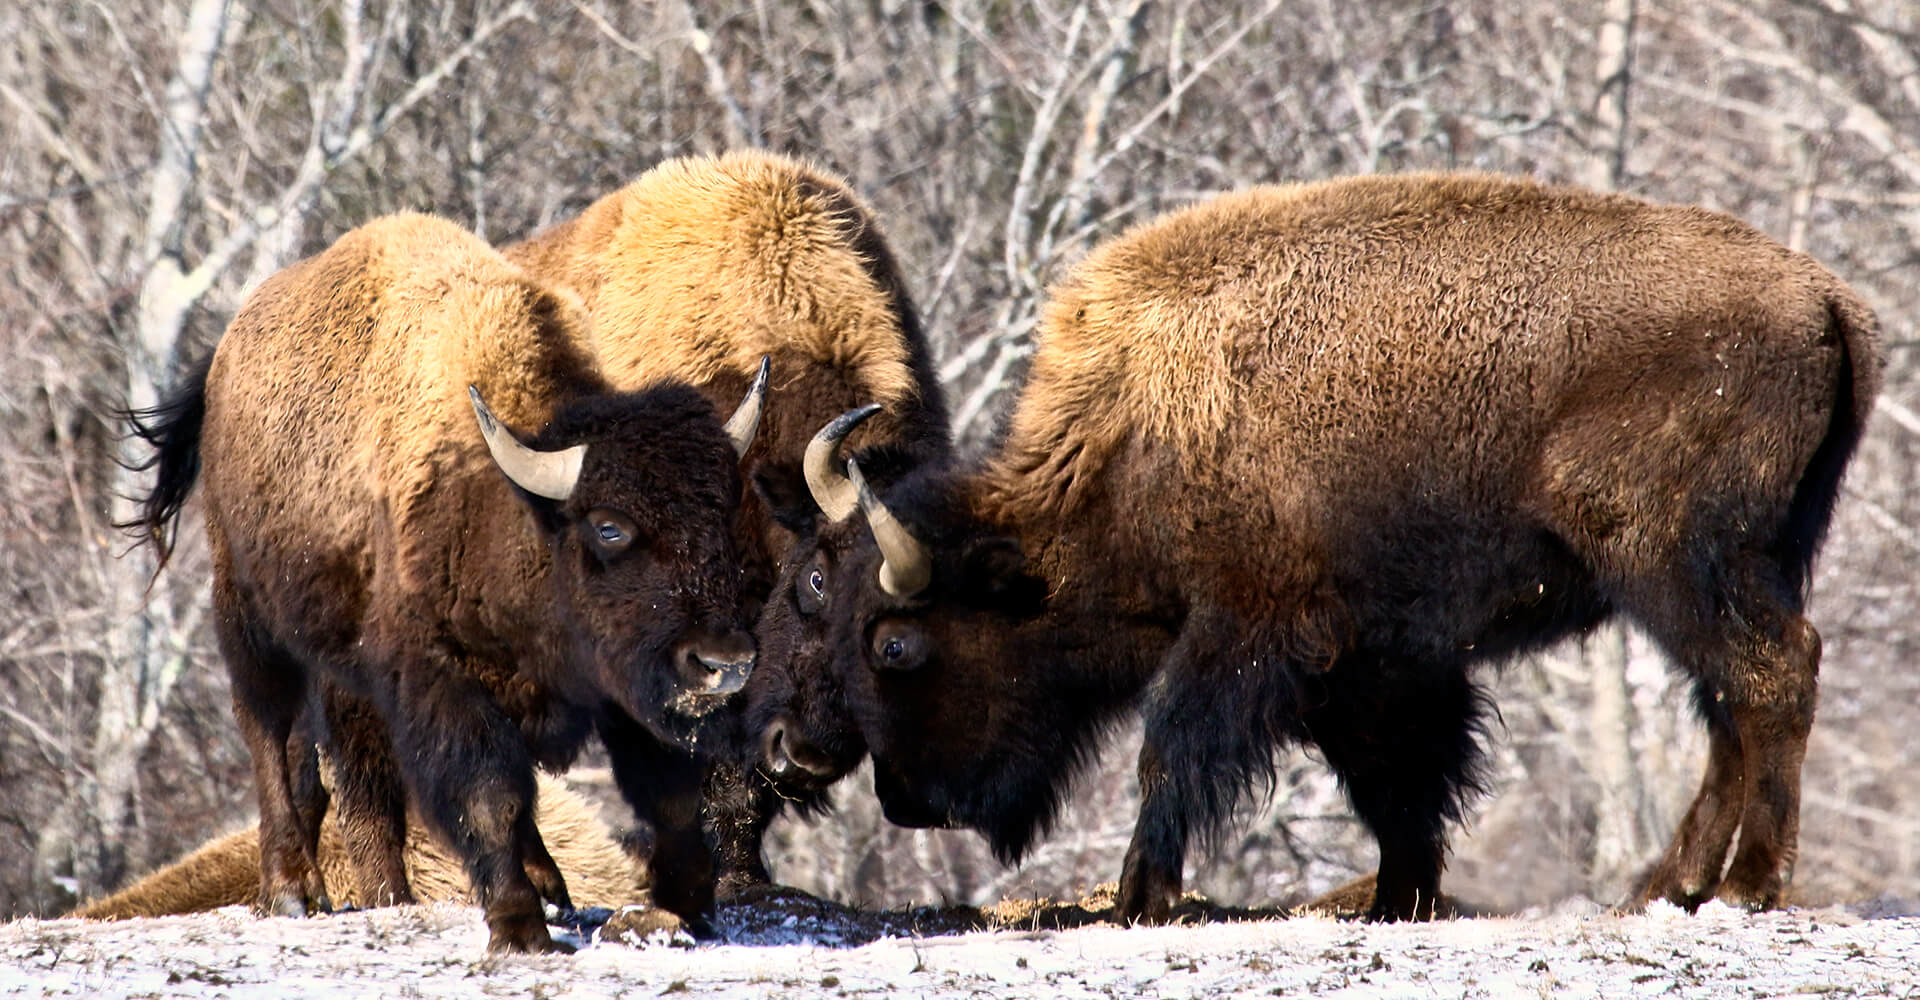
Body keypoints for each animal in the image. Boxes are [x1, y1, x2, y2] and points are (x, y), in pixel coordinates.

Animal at [122, 212, 766, 951]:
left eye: (725, 510)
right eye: (608, 527)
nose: (722, 662)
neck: (518, 503)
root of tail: (224, 361)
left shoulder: (619, 685)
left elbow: (668, 793)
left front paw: (680, 907)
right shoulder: (441, 678)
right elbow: (488, 796)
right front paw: (518, 928)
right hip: (248, 612)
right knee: (269, 732)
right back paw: (290, 888)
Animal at [761, 172, 1881, 923]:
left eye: (896, 644)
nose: (906, 802)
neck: (1139, 428)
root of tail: (1826, 298)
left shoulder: (1256, 627)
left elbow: (1174, 752)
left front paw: (1137, 897)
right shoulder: (1374, 659)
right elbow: (1402, 781)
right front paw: (1399, 898)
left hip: (1677, 563)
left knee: (1771, 675)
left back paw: (1744, 885)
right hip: (1734, 568)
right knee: (1730, 698)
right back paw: (1672, 884)